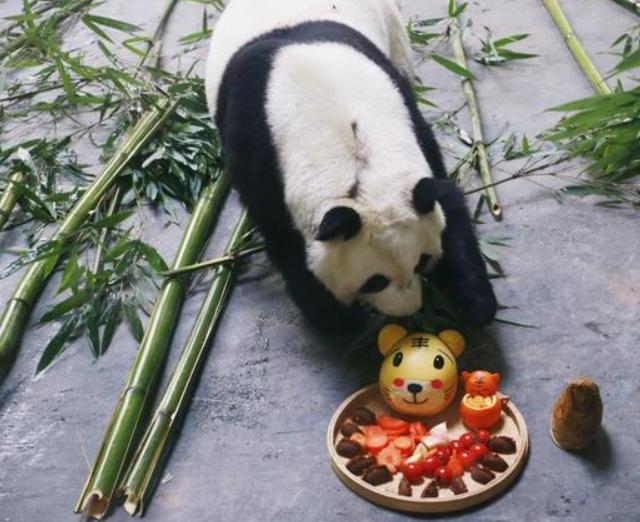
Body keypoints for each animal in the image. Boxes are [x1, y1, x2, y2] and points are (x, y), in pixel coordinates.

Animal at [206, 0, 497, 332]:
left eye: (421, 261)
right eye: (375, 281)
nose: (409, 310)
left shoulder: (406, 111)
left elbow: (446, 200)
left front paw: (475, 301)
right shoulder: (256, 147)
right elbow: (286, 244)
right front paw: (340, 320)